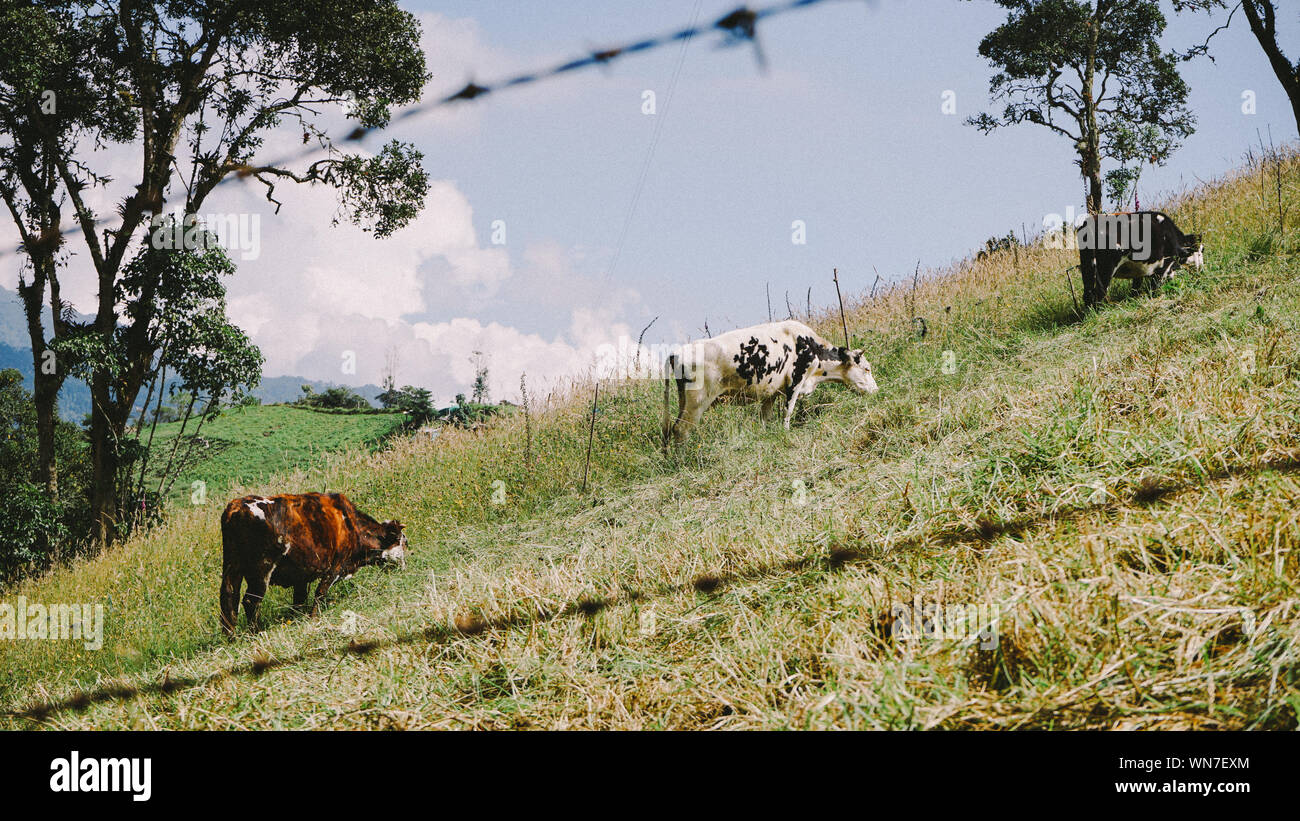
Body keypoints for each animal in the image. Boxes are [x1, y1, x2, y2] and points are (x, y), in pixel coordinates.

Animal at [219, 492, 408, 636]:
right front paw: (314, 619)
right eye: (404, 542)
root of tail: (236, 506)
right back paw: (257, 633)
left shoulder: (301, 577)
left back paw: (230, 637)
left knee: (228, 597)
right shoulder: (335, 567)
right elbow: (320, 594)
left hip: (232, 566)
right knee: (251, 601)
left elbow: (299, 602)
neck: (350, 525)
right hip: (262, 568)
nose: (406, 566)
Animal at [662, 319, 878, 448]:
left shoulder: (771, 392)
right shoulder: (795, 382)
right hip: (698, 400)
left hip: (684, 399)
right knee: (681, 429)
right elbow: (787, 414)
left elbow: (766, 419)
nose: (876, 390)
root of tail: (677, 352)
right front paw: (786, 435)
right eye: (867, 368)